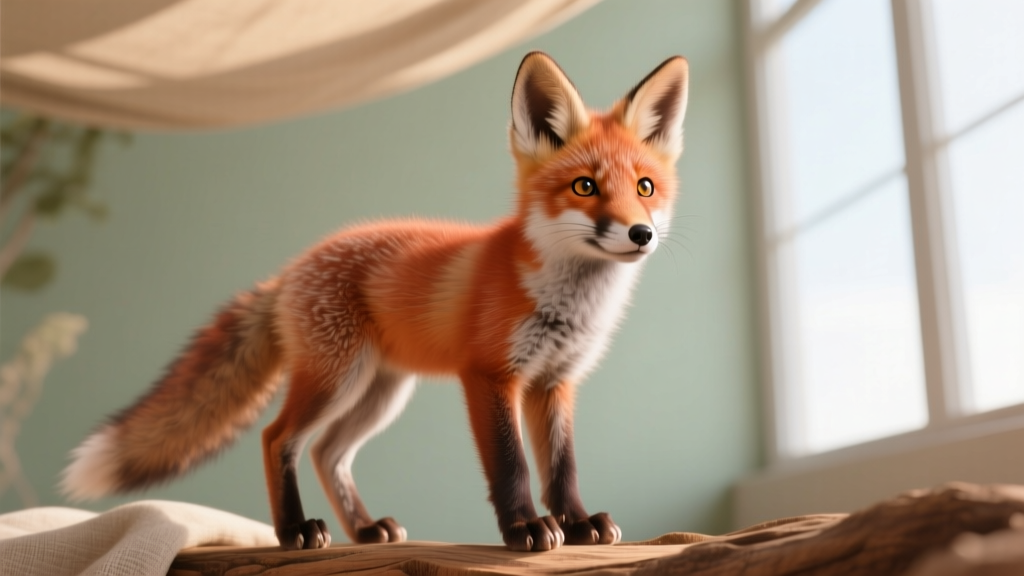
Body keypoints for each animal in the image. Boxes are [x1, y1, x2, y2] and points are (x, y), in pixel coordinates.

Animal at [61, 52, 689, 552]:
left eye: (645, 188)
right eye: (585, 187)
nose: (640, 234)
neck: (568, 301)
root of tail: (290, 270)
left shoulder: (554, 382)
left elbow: (563, 467)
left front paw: (579, 524)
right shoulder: (490, 375)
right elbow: (511, 465)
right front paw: (524, 529)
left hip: (379, 392)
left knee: (327, 453)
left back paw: (363, 530)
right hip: (336, 379)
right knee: (278, 438)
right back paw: (295, 532)